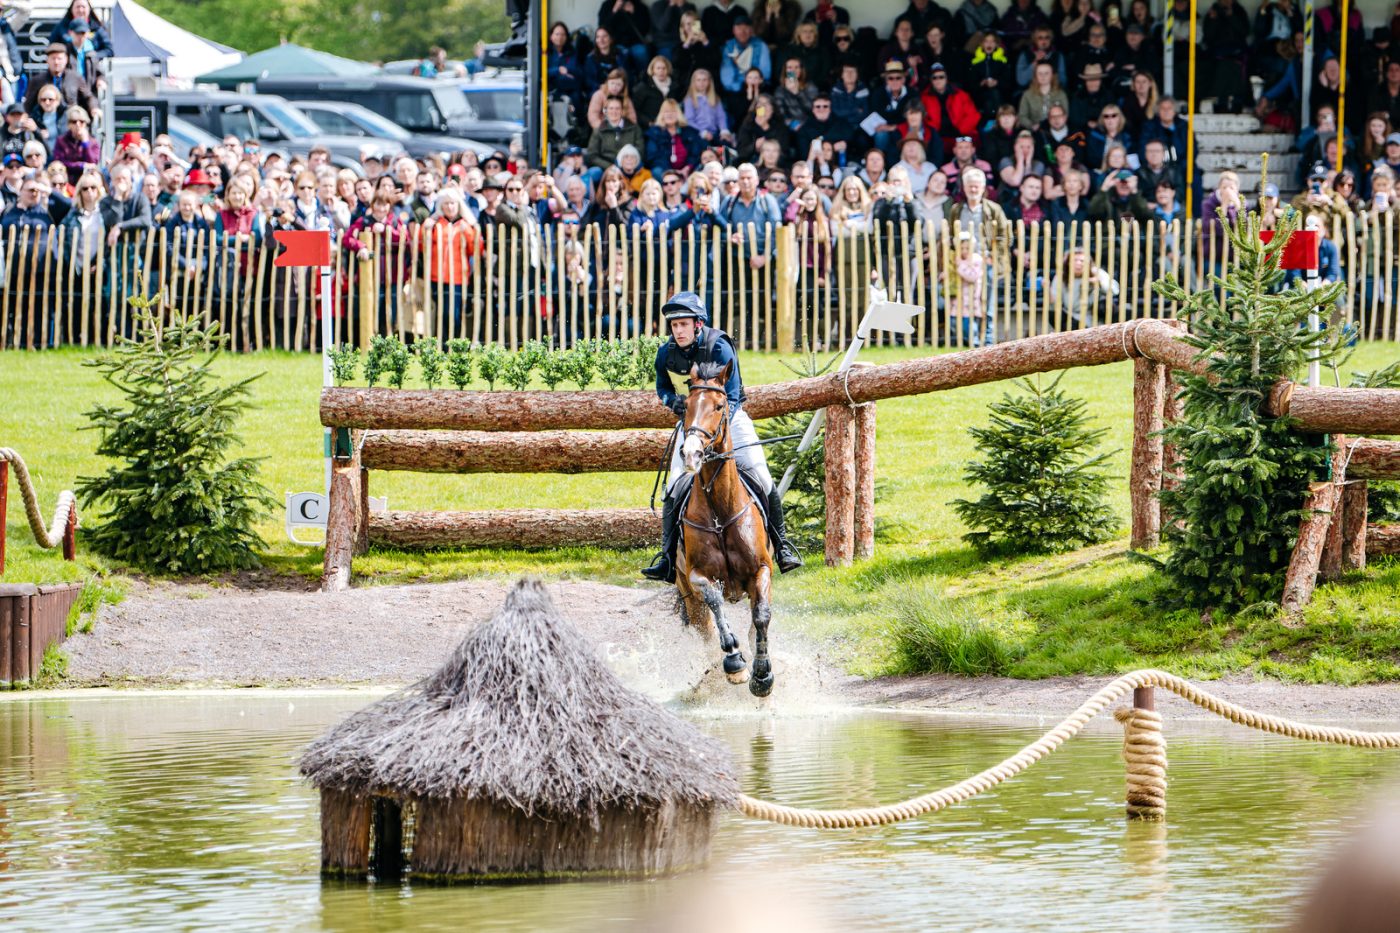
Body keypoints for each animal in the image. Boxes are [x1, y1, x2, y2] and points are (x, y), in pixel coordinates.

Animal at [673, 361, 775, 697]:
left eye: (719, 406)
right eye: (686, 407)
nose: (691, 454)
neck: (720, 513)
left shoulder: (761, 570)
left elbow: (761, 616)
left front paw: (762, 675)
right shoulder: (698, 575)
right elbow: (716, 603)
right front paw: (735, 664)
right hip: (688, 596)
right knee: (705, 629)